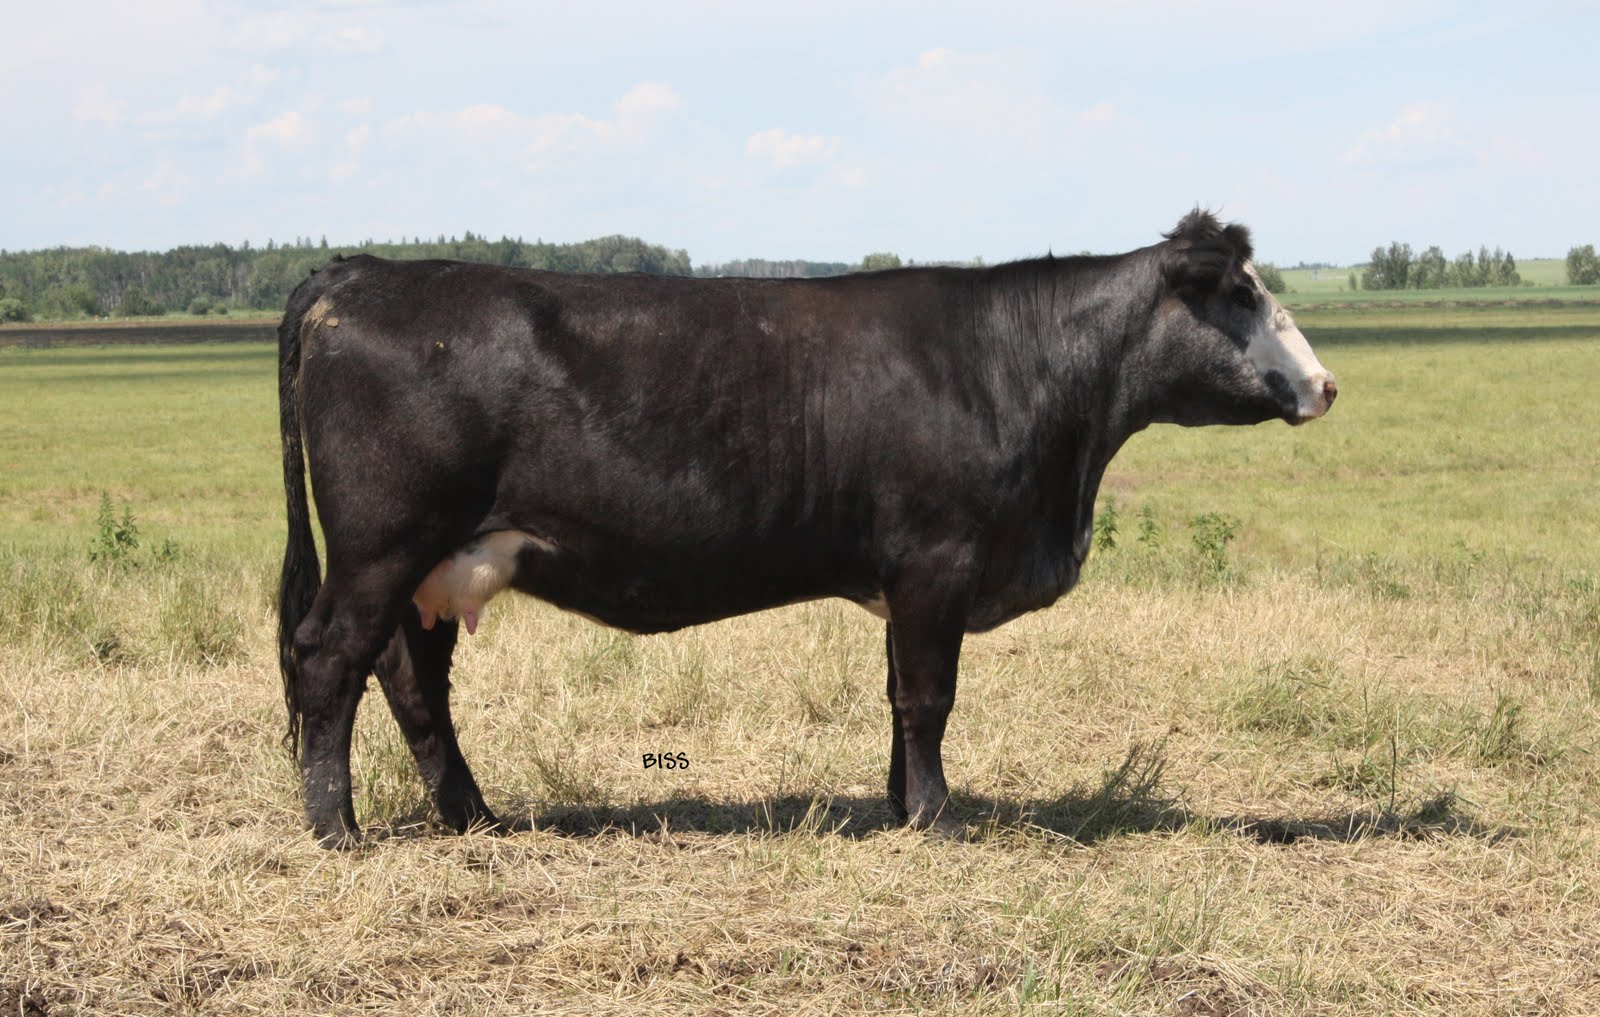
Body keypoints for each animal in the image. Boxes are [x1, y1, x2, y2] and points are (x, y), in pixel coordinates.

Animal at [277, 210, 1336, 846]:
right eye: (1243, 293)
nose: (1325, 383)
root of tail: (359, 272)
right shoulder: (938, 559)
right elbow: (930, 696)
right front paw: (940, 821)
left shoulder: (906, 577)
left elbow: (899, 698)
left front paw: (904, 805)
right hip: (383, 545)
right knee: (331, 659)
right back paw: (337, 829)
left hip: (435, 561)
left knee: (412, 678)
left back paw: (473, 815)